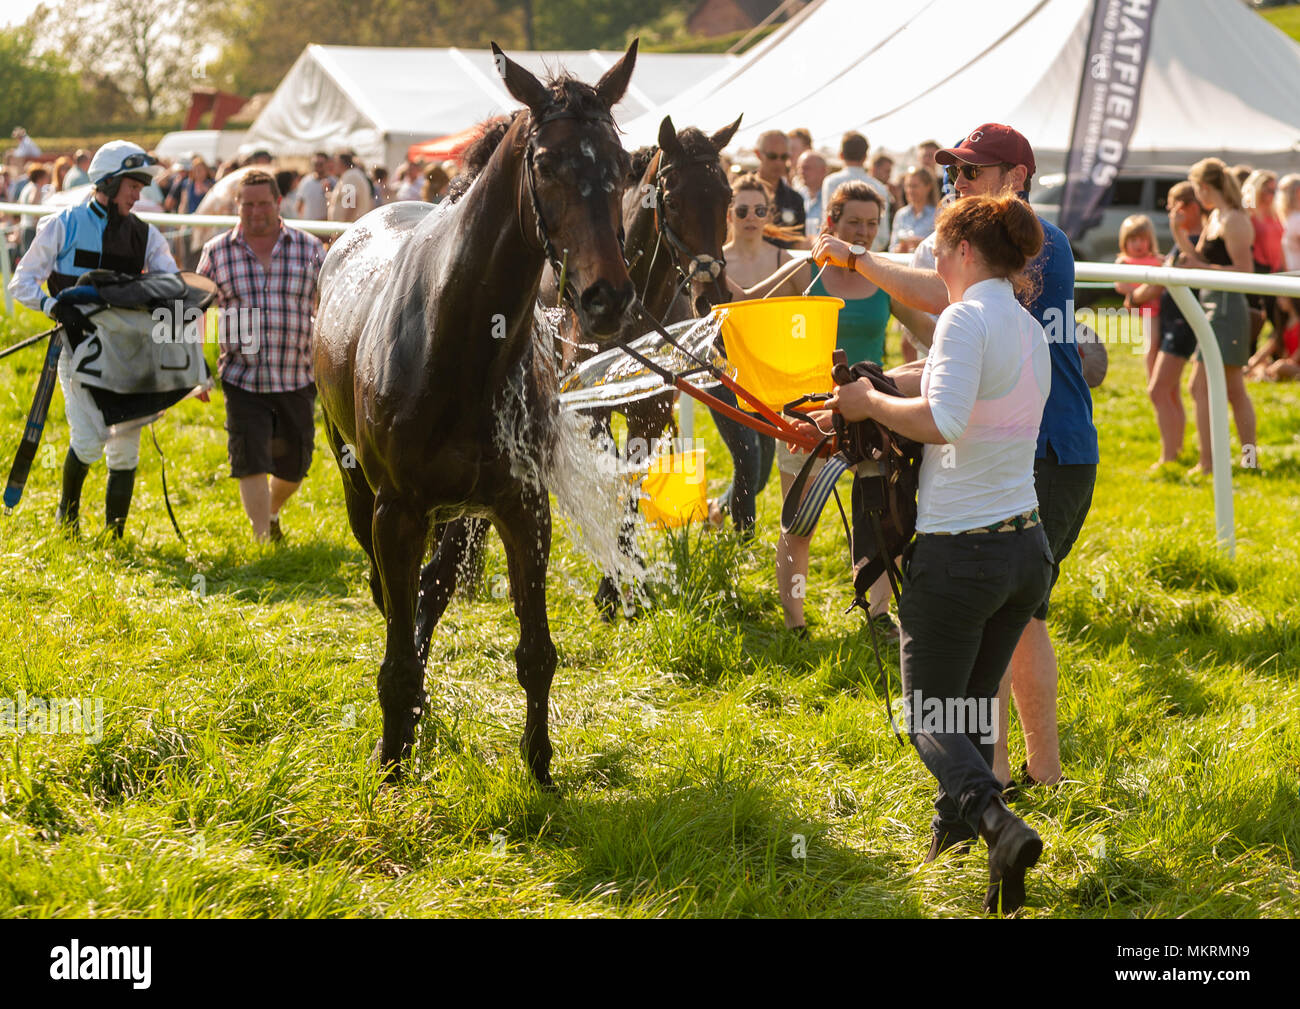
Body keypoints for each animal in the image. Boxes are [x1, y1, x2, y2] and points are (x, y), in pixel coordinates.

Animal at [313, 41, 639, 786]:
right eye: (547, 164)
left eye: (624, 165)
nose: (606, 297)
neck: (454, 338)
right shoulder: (396, 511)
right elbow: (397, 642)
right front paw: (392, 758)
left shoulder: (522, 507)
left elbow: (536, 651)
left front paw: (540, 766)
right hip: (357, 486)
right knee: (391, 594)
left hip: (462, 513)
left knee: (431, 590)